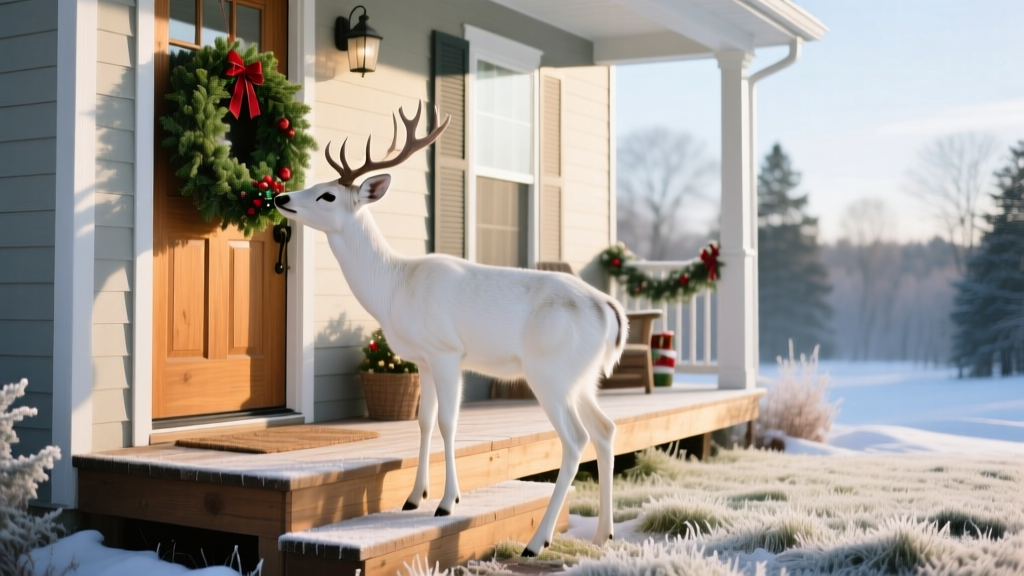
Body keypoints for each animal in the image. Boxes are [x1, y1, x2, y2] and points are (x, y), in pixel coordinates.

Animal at [274, 102, 626, 557]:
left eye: (327, 195)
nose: (280, 197)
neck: (394, 285)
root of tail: (611, 311)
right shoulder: (422, 359)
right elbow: (424, 420)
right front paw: (414, 497)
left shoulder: (447, 352)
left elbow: (448, 422)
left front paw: (446, 503)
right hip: (581, 378)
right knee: (605, 430)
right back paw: (603, 535)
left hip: (549, 372)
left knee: (575, 440)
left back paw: (537, 542)